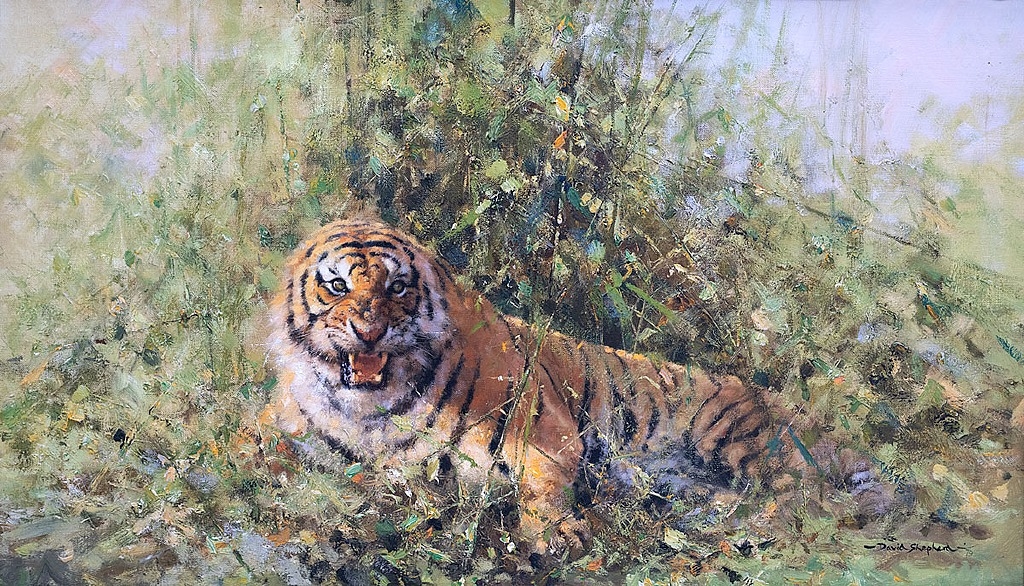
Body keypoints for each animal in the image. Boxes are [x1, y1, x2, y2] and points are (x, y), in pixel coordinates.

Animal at [263, 217, 895, 559]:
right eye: (338, 286)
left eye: (396, 288)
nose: (370, 331)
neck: (370, 407)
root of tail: (792, 406)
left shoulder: (546, 432)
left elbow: (541, 486)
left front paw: (558, 534)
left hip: (734, 438)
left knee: (804, 498)